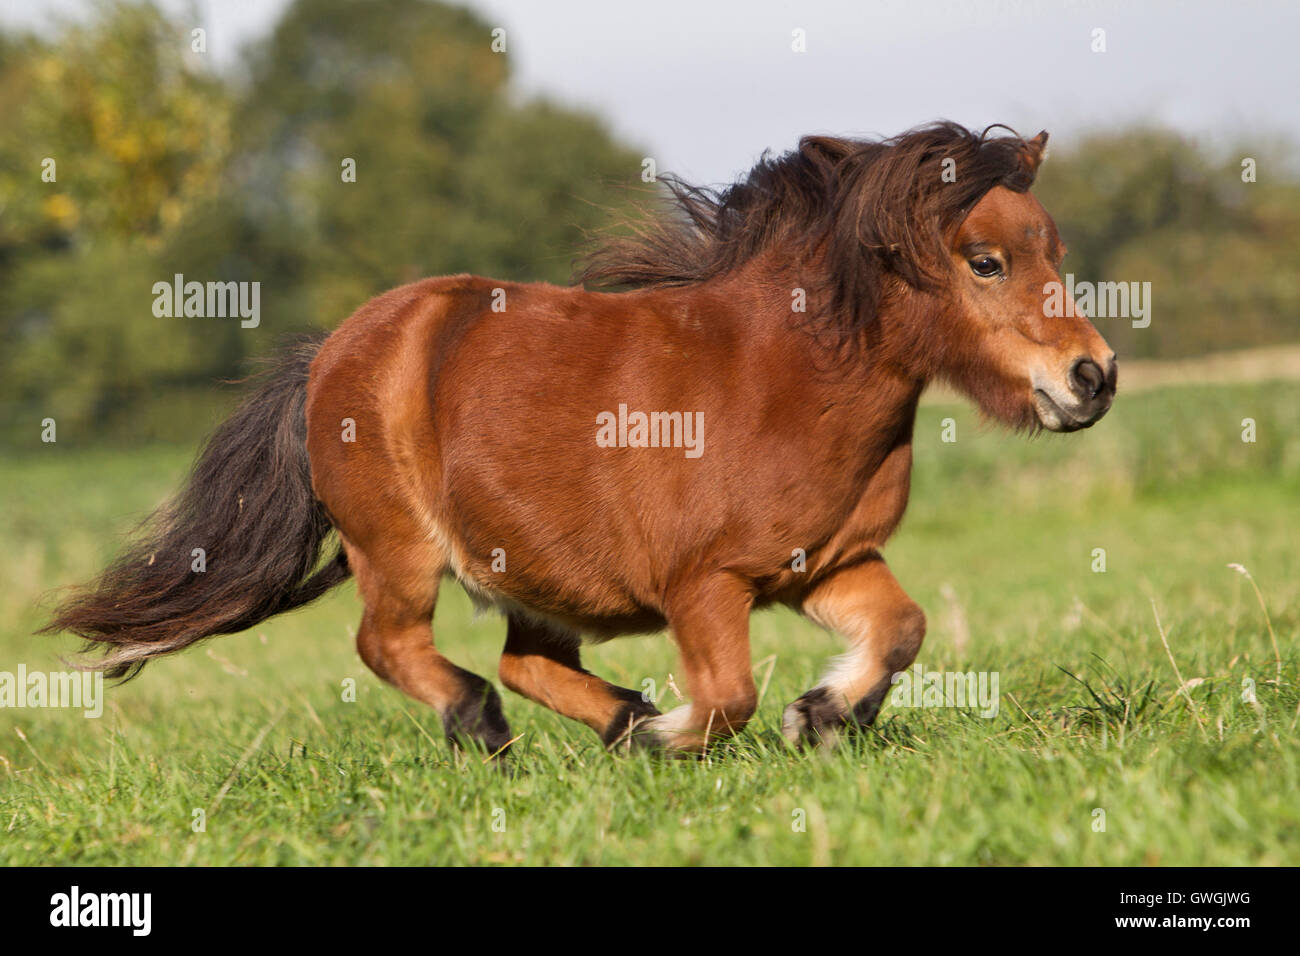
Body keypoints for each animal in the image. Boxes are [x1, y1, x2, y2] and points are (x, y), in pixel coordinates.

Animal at [43, 121, 1117, 758]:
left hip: (533, 572)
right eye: (985, 261)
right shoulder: (705, 585)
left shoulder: (829, 565)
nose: (1093, 377)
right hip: (400, 551)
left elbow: (902, 630)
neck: (787, 378)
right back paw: (491, 729)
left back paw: (614, 717)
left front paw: (819, 714)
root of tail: (334, 351)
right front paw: (681, 735)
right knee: (391, 645)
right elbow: (726, 696)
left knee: (525, 660)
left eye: (1055, 249)